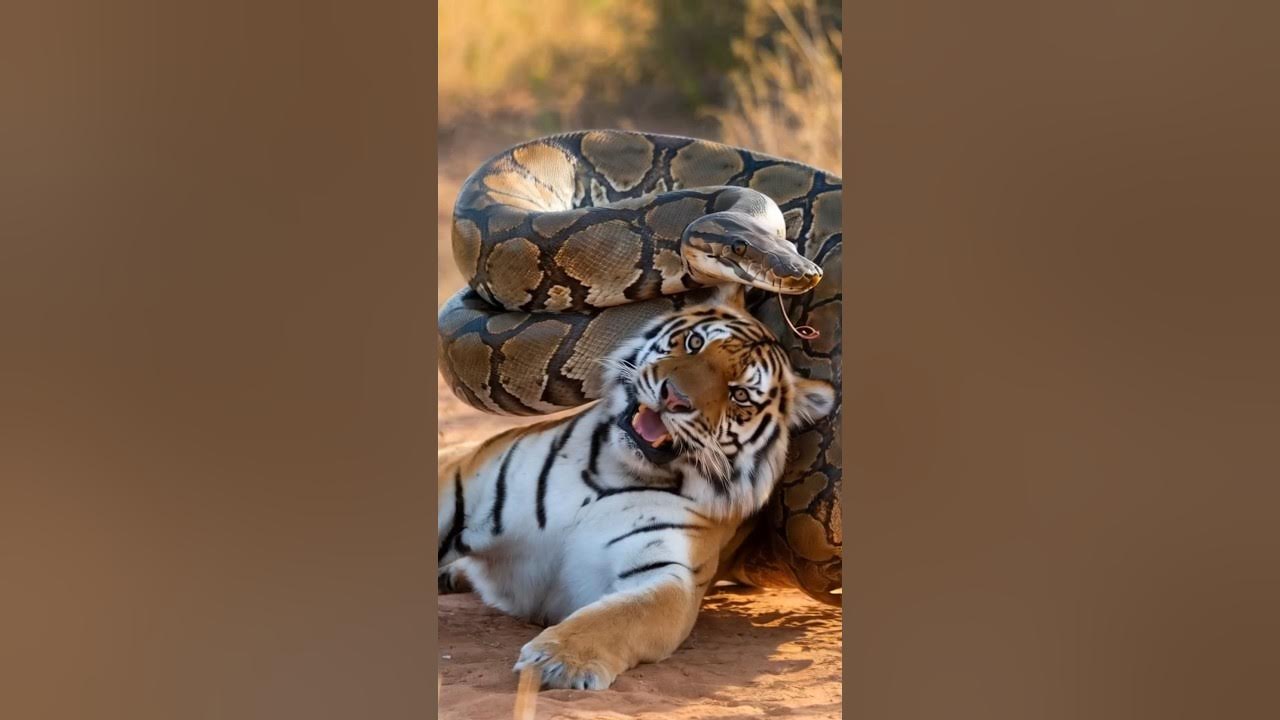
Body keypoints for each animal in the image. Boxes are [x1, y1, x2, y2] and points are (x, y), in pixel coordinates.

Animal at [436, 286, 835, 690]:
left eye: (739, 396)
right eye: (694, 343)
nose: (674, 397)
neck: (609, 472)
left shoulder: (667, 574)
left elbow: (616, 616)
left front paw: (557, 661)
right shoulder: (462, 487)